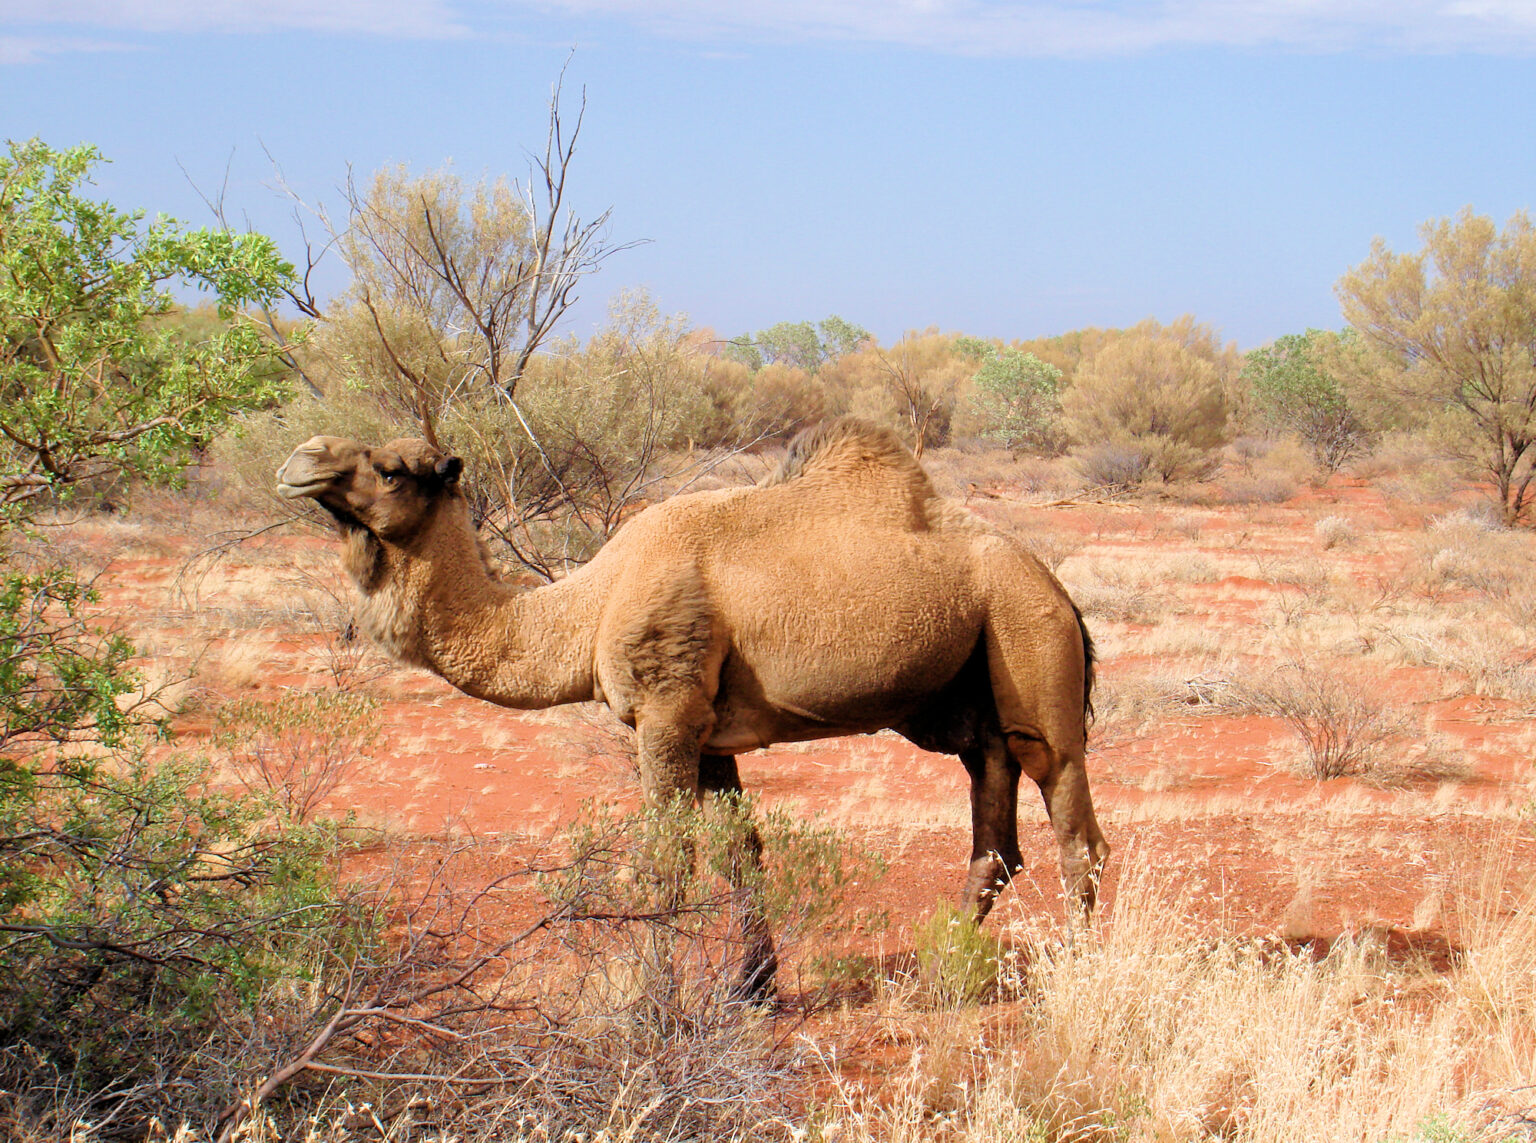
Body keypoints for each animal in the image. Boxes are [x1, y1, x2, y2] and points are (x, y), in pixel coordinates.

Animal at [277, 417, 1108, 996]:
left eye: (390, 468)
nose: (300, 459)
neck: (590, 604)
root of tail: (1058, 588)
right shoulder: (709, 734)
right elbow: (740, 852)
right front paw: (752, 987)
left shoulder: (665, 710)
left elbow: (664, 863)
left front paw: (653, 1004)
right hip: (967, 699)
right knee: (994, 837)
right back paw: (939, 971)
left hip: (1028, 639)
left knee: (1073, 819)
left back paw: (1078, 970)